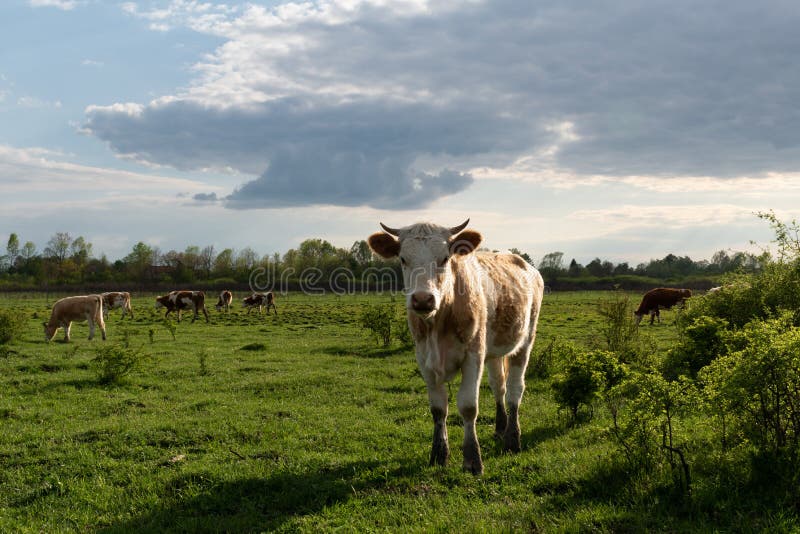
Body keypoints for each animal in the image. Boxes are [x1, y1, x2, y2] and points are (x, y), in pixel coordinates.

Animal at [368, 219, 544, 475]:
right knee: (498, 386)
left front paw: (472, 460)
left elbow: (469, 406)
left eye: (444, 258)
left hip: (525, 339)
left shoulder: (473, 356)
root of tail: (527, 266)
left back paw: (512, 438)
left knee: (515, 389)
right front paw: (439, 454)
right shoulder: (424, 359)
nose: (422, 299)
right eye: (403, 259)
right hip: (493, 351)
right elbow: (438, 409)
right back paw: (500, 428)